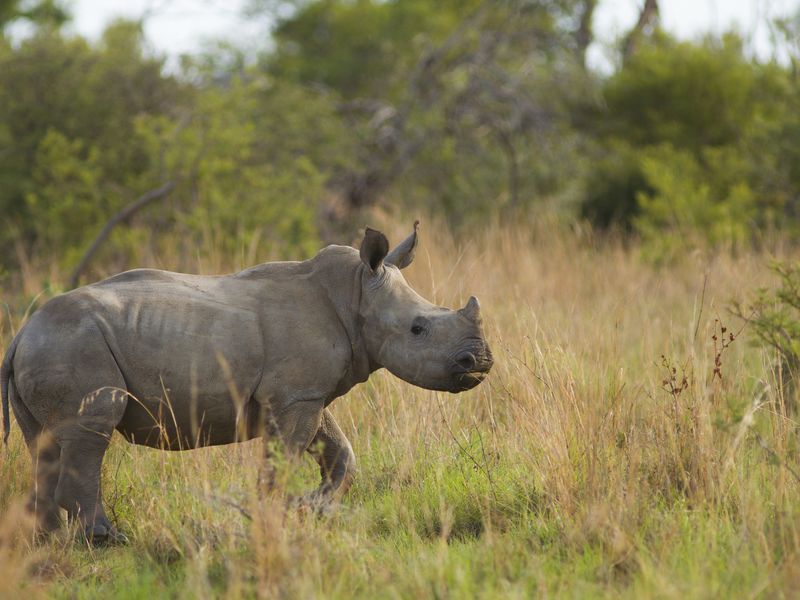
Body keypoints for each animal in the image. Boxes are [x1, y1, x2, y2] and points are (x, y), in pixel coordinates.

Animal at [0, 224, 492, 543]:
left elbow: (339, 451)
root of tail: (21, 334)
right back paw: (105, 539)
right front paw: (275, 515)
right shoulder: (296, 394)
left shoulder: (305, 393)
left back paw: (46, 542)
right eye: (418, 329)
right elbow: (284, 460)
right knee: (92, 432)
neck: (354, 294)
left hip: (52, 345)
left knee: (45, 442)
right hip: (73, 345)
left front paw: (311, 507)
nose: (482, 362)